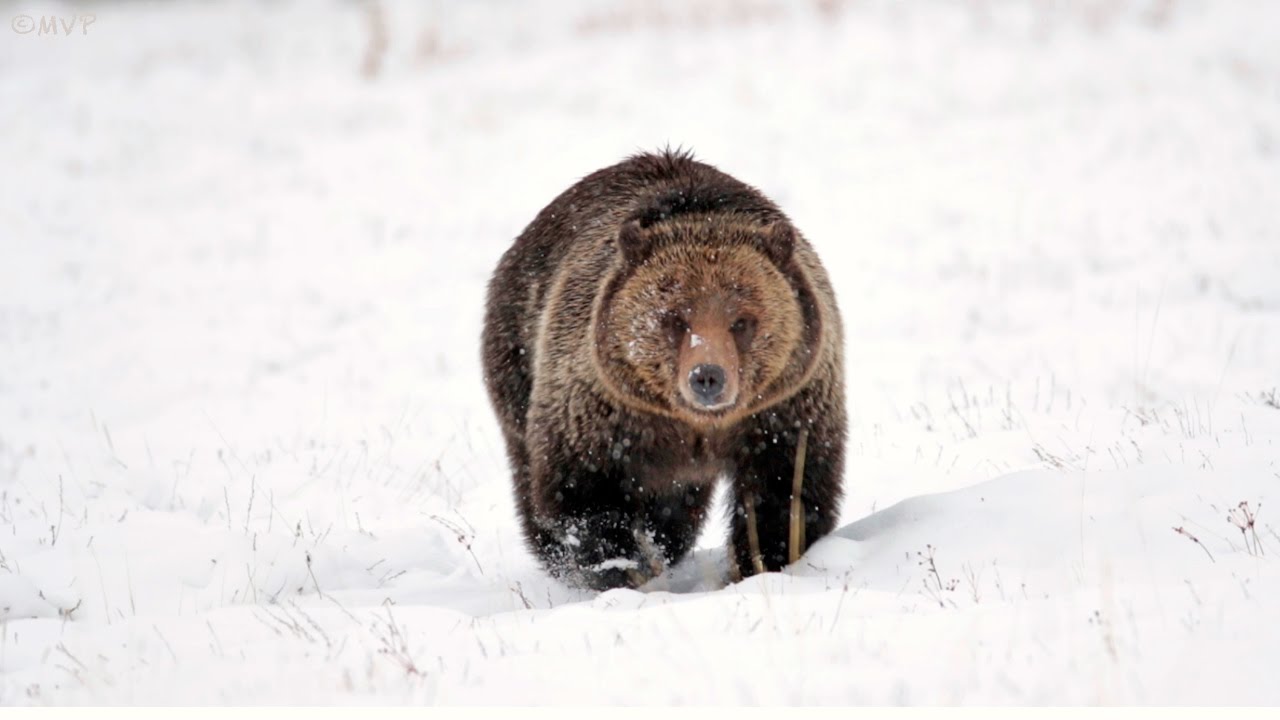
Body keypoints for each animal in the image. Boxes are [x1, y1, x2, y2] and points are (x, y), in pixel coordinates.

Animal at [481, 148, 846, 590]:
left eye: (742, 321)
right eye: (675, 319)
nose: (707, 376)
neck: (697, 425)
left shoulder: (784, 409)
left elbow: (788, 490)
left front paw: (762, 561)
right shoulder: (601, 409)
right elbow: (582, 494)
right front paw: (620, 567)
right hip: (518, 354)